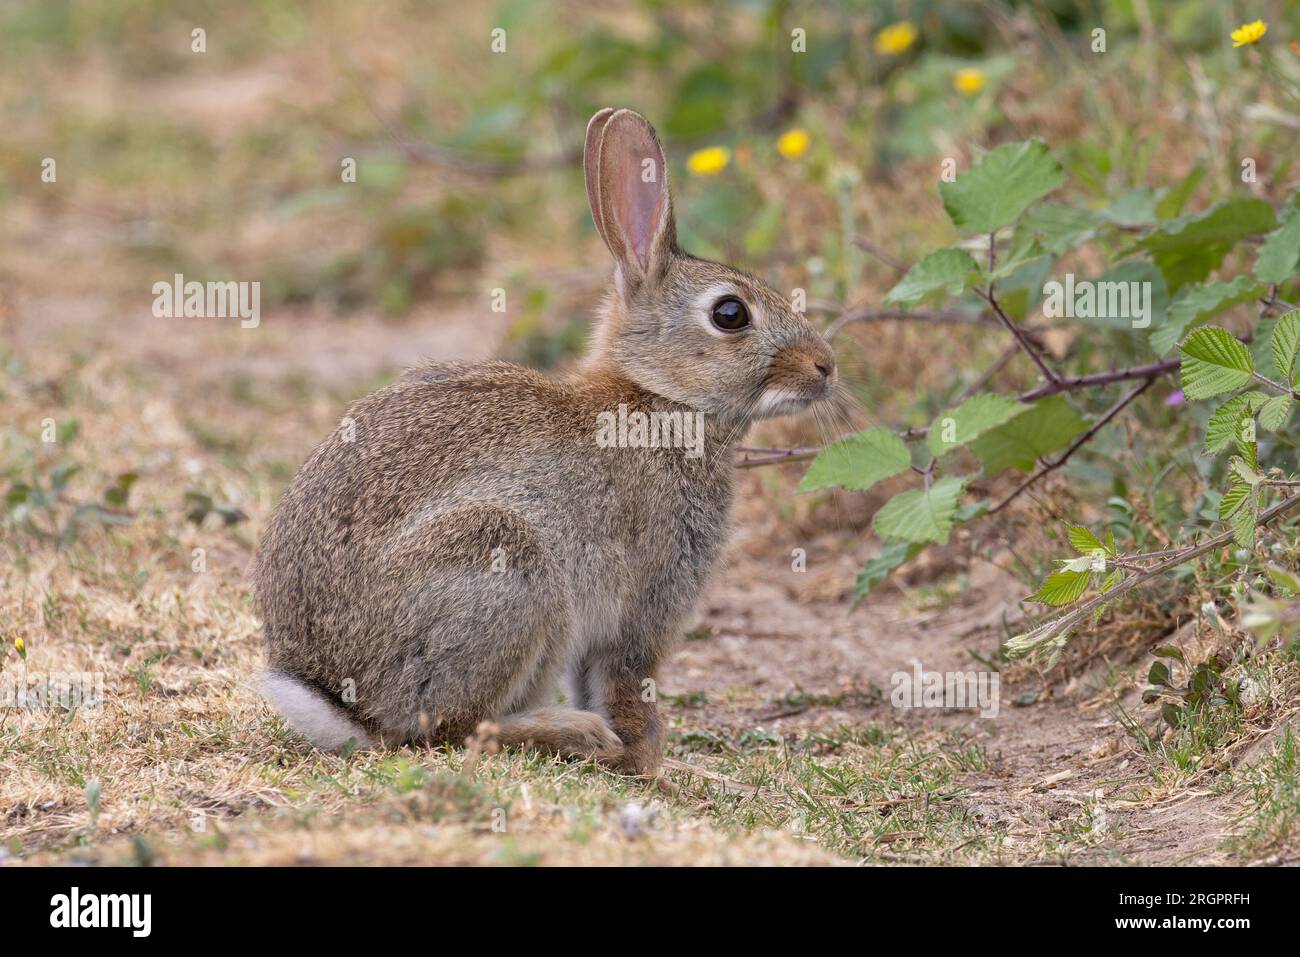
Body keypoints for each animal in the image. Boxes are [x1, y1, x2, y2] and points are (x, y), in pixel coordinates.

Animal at [253, 108, 837, 776]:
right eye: (731, 314)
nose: (825, 366)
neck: (658, 399)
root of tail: (343, 703)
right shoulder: (643, 607)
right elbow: (629, 686)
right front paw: (643, 761)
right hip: (504, 565)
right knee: (451, 730)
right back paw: (575, 735)